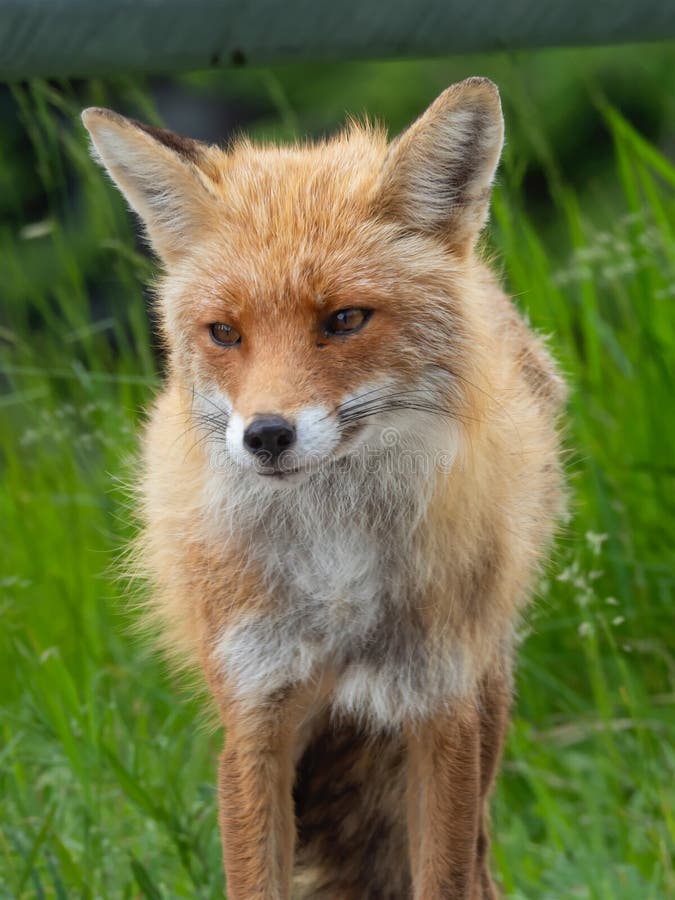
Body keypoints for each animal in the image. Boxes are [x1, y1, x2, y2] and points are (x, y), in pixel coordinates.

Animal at [82, 77, 566, 899]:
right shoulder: (256, 717)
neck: (334, 566)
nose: (265, 436)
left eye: (344, 319)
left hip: (487, 702)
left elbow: (442, 879)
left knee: (478, 867)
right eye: (224, 333)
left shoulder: (440, 710)